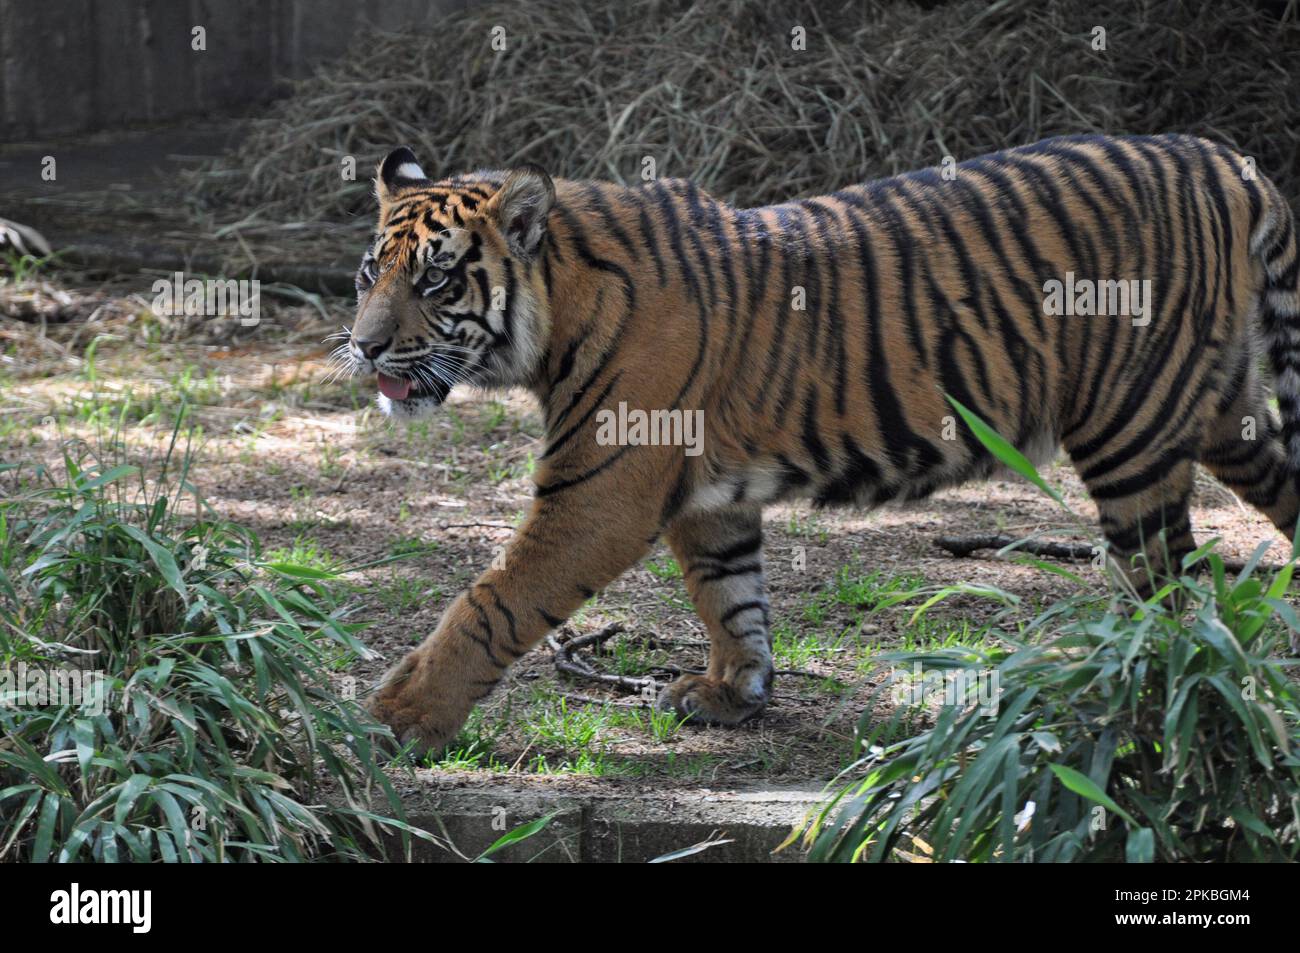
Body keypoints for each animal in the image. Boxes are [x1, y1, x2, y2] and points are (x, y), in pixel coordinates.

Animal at [350, 134, 1300, 755]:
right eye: (370, 272)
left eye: (435, 278)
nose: (361, 345)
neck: (558, 310)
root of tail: (1226, 160)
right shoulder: (709, 500)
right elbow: (731, 596)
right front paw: (734, 692)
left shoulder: (599, 493)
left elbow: (491, 602)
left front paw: (399, 716)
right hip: (1226, 416)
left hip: (1128, 428)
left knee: (1166, 589)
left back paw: (1127, 692)